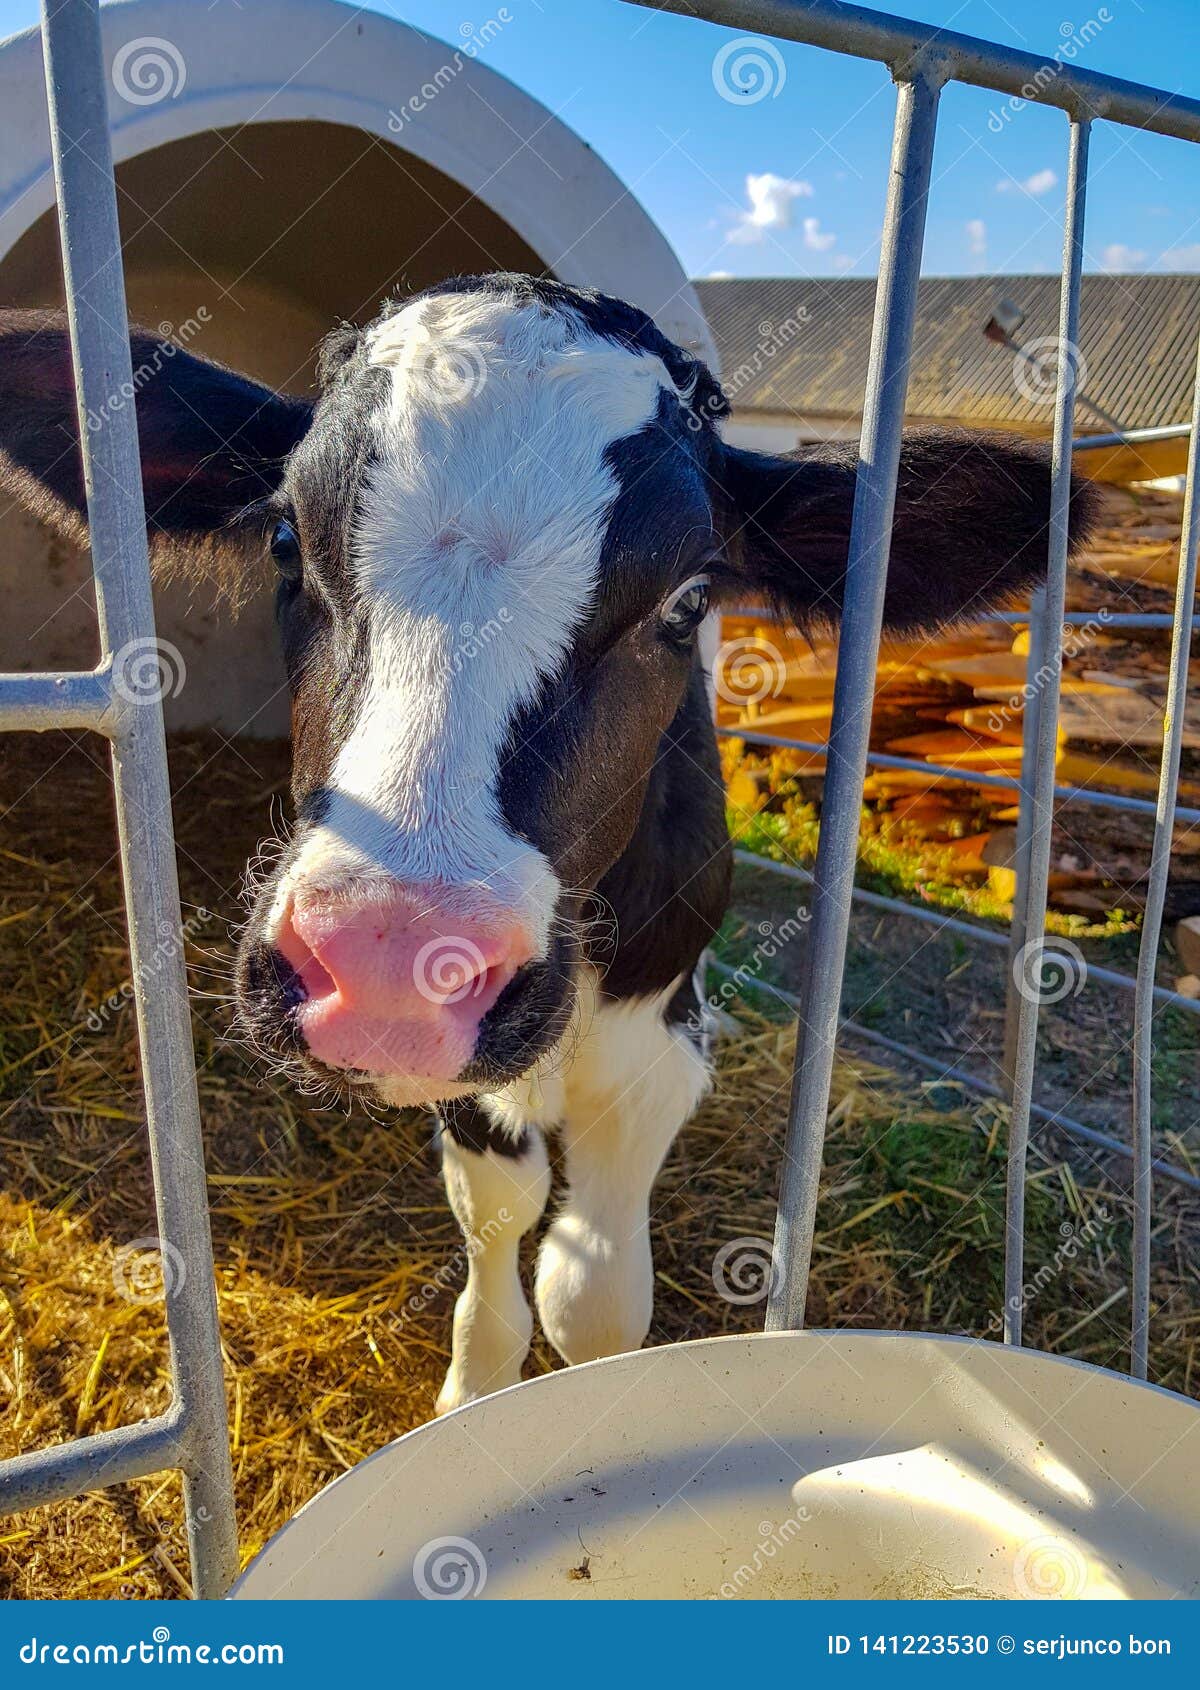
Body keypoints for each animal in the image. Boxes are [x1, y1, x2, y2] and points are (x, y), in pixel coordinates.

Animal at [0, 276, 1092, 1412]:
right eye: (286, 542)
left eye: (691, 596)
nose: (385, 964)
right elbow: (501, 1205)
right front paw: (480, 1385)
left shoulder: (660, 1026)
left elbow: (594, 1293)